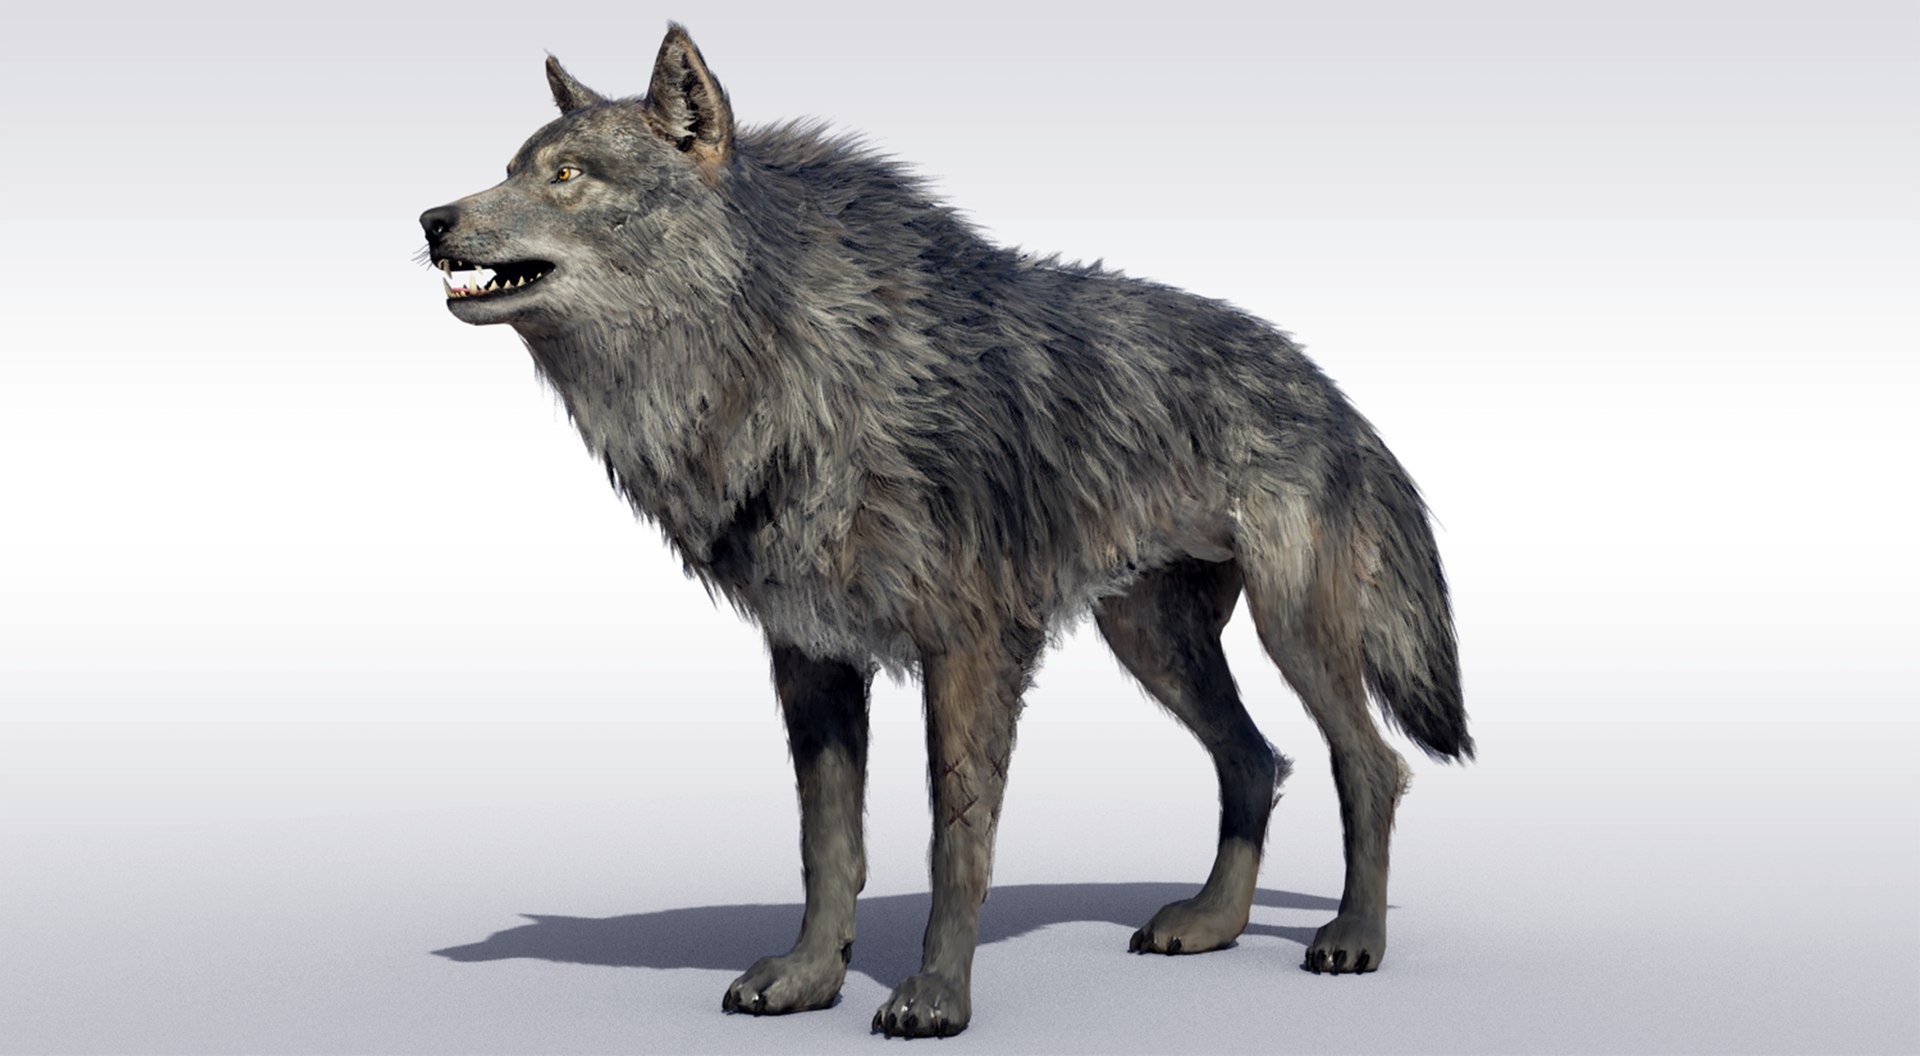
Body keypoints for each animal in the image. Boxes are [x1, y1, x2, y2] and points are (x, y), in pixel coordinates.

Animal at [419, 23, 1471, 1038]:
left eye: (567, 175)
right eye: (511, 166)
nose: (432, 221)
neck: (789, 364)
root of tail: (1327, 387)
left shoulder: (970, 649)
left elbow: (956, 839)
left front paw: (934, 997)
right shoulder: (812, 657)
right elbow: (828, 847)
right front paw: (810, 978)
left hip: (1290, 633)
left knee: (1370, 764)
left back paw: (1353, 937)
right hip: (1151, 642)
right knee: (1255, 760)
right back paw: (1212, 923)